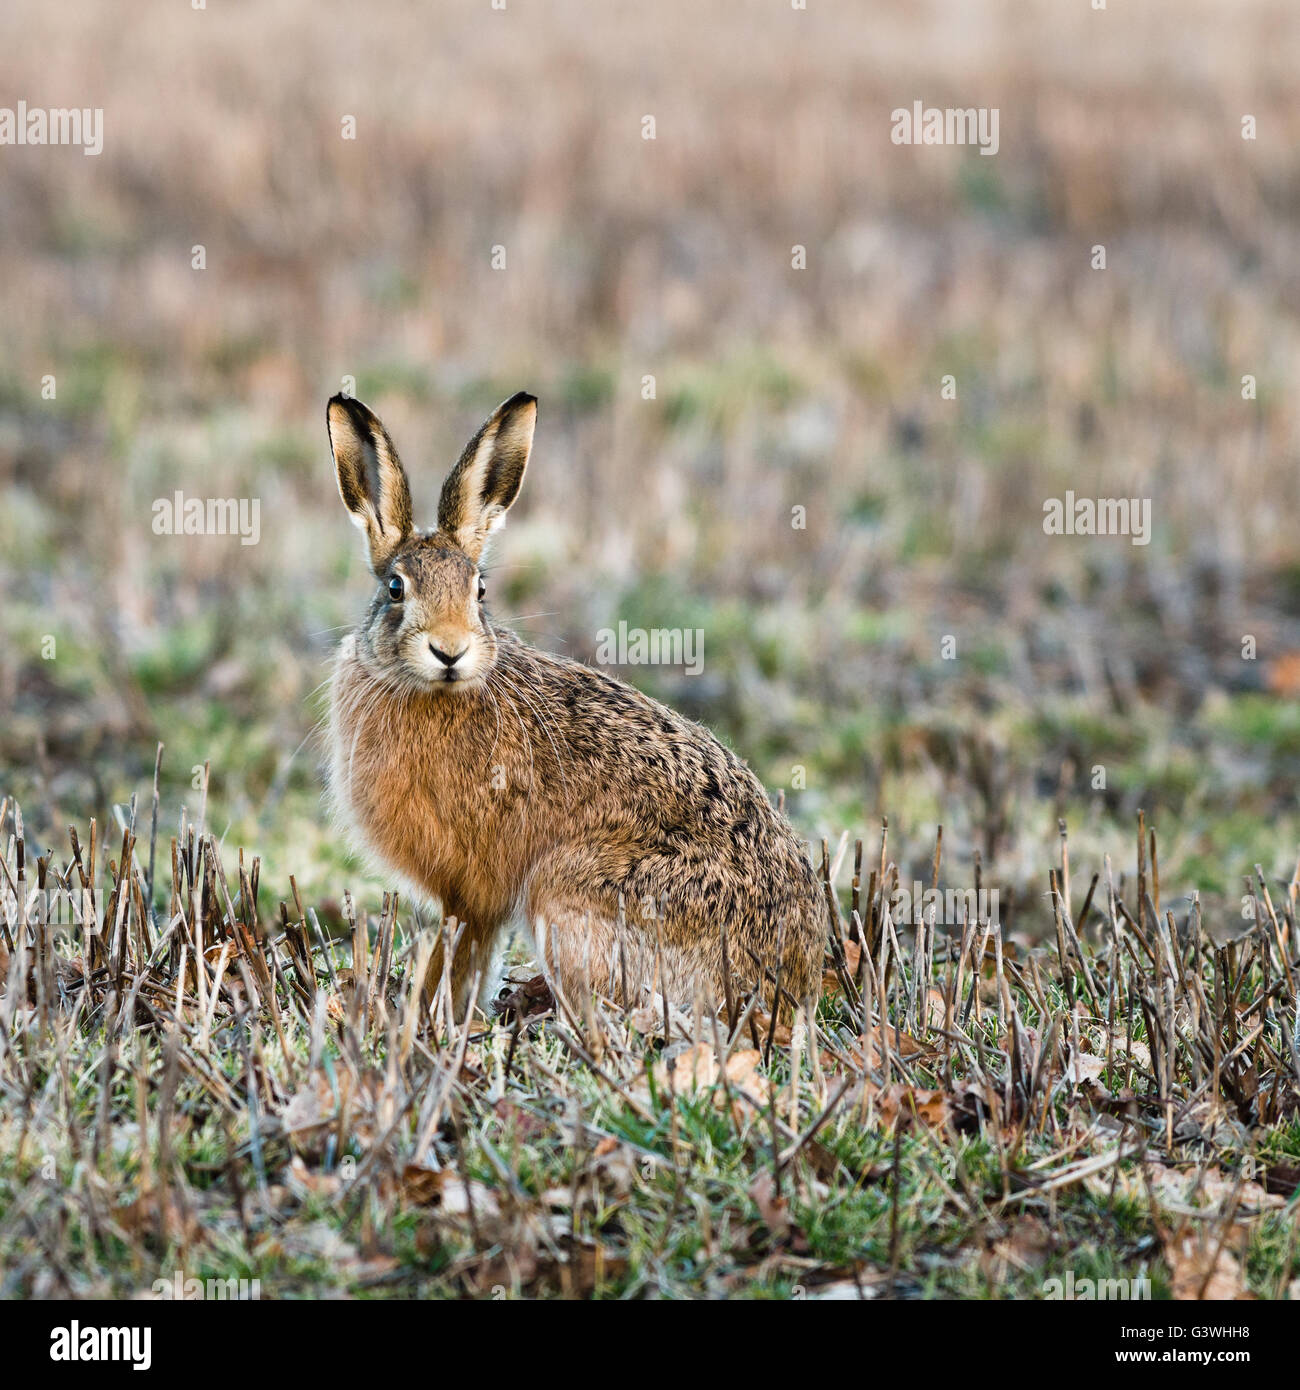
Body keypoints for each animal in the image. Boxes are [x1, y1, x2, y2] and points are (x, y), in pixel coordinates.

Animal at [325, 389, 827, 1021]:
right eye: (395, 589)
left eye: (480, 590)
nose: (450, 649)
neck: (442, 690)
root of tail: (786, 986)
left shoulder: (471, 889)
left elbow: (456, 954)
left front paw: (426, 1019)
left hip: (568, 891)